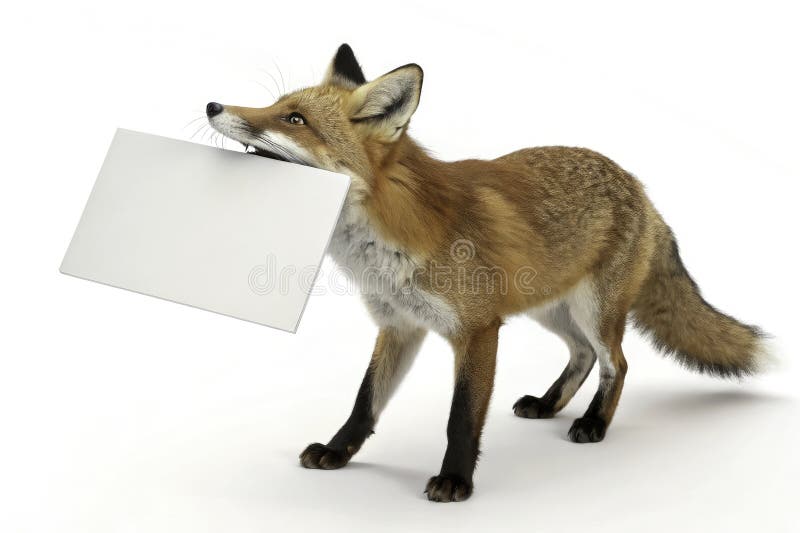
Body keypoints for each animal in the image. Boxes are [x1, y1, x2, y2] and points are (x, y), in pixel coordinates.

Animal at [207, 44, 771, 502]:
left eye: (294, 119)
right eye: (278, 107)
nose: (212, 106)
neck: (388, 239)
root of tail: (641, 189)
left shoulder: (477, 329)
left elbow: (461, 418)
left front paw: (455, 480)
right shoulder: (399, 325)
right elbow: (365, 401)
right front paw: (337, 450)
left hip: (593, 309)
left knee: (618, 363)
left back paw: (593, 423)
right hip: (549, 307)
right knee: (583, 354)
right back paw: (548, 404)